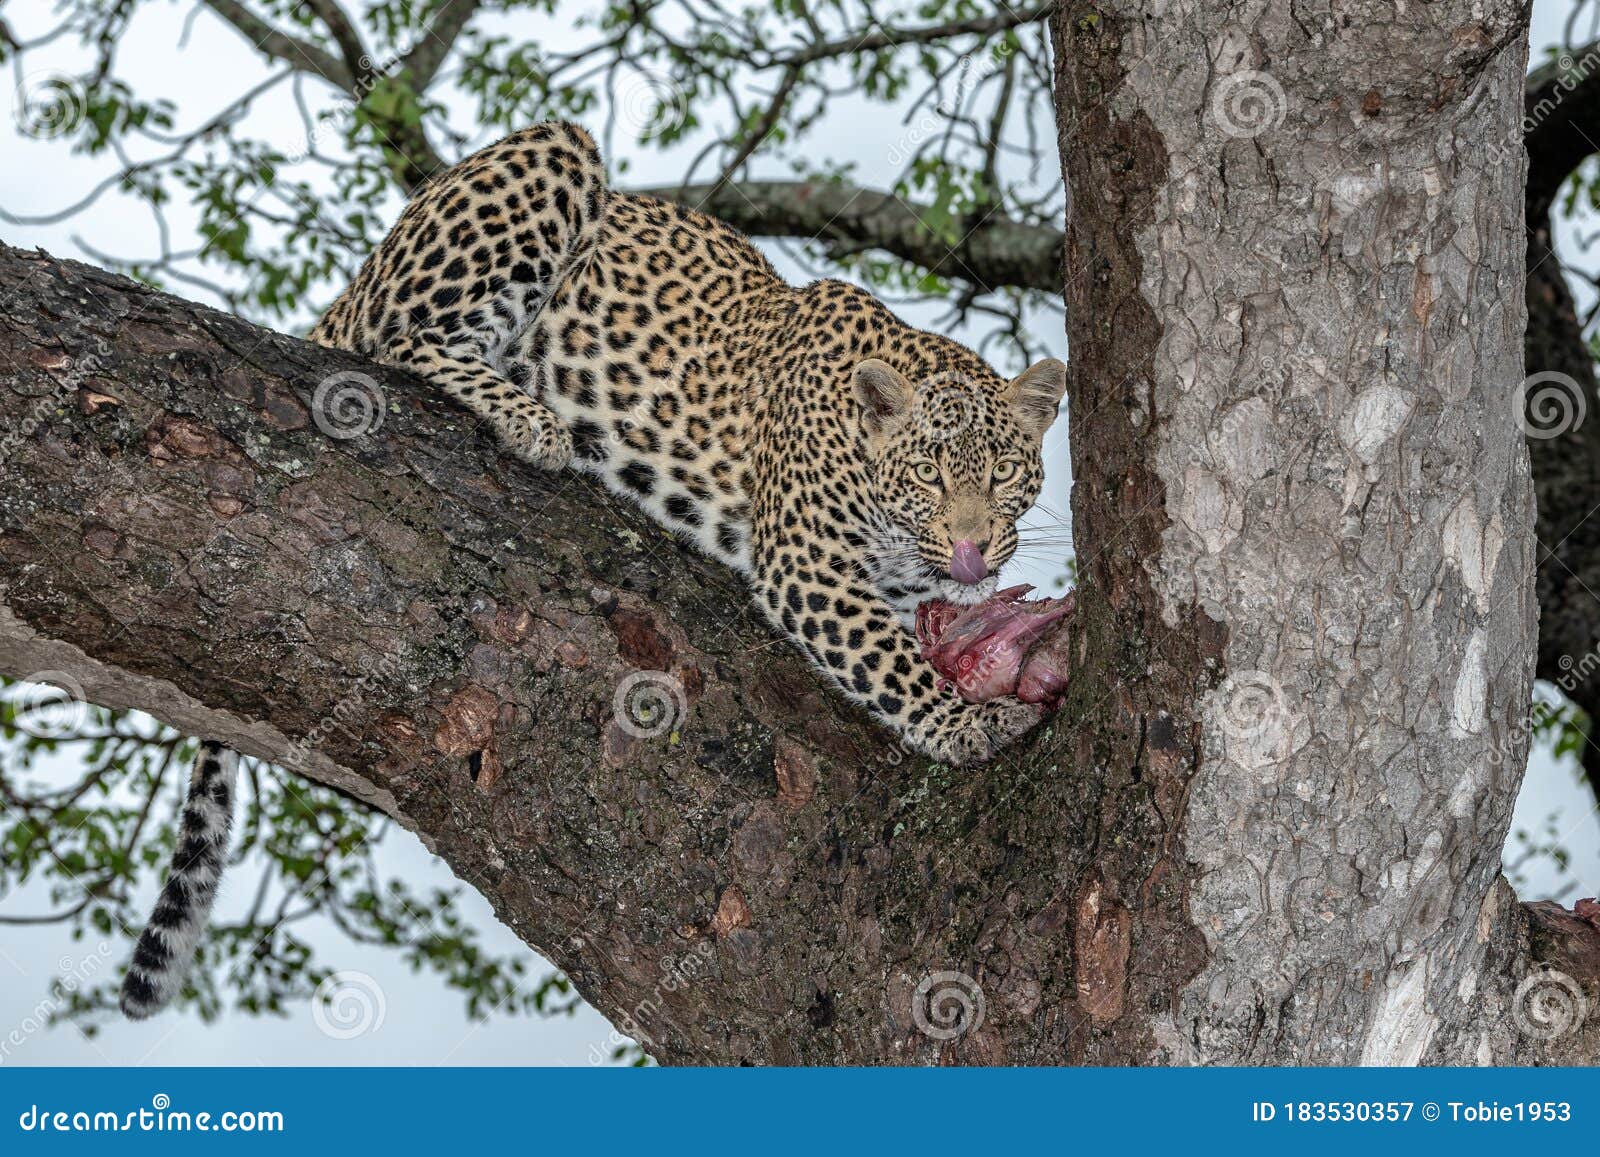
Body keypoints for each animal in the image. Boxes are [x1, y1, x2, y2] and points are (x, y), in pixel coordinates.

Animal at [122, 121, 1066, 1018]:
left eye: (1004, 472)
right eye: (930, 473)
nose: (974, 550)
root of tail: (346, 293)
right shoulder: (808, 562)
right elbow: (884, 658)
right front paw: (966, 722)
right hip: (547, 161)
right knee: (402, 344)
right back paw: (532, 417)